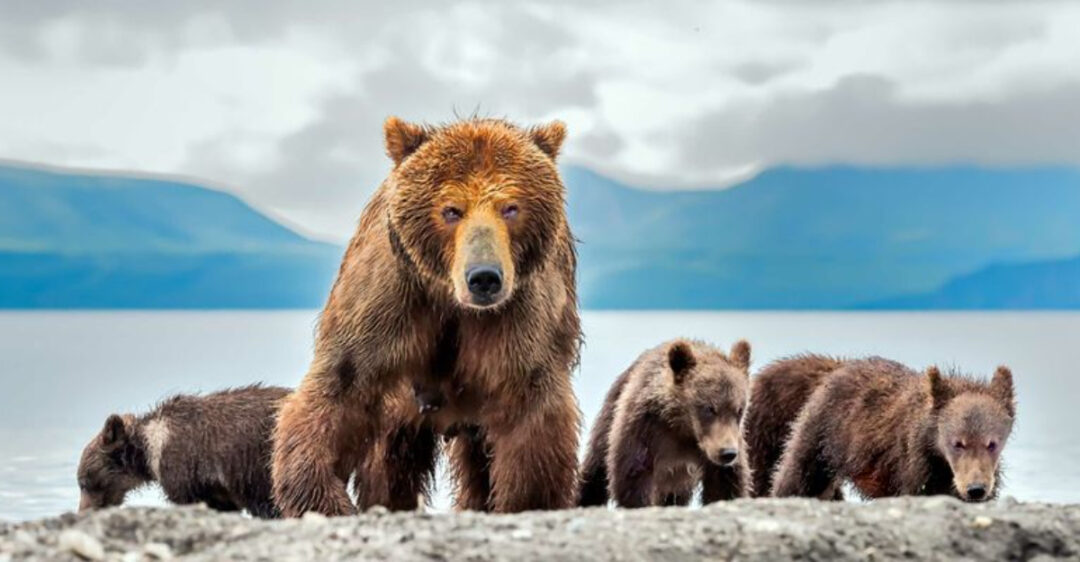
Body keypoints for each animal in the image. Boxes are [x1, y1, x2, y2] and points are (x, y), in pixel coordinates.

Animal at [271, 117, 582, 517]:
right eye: (451, 210)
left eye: (511, 207)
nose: (484, 277)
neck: (452, 300)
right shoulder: (387, 303)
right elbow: (340, 388)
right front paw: (324, 497)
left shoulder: (521, 318)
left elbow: (530, 414)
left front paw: (525, 500)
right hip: (400, 411)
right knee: (391, 466)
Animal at [579, 339, 752, 508]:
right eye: (709, 408)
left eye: (739, 410)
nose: (727, 453)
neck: (682, 427)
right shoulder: (644, 428)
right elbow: (634, 476)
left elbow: (725, 485)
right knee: (596, 469)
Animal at [768, 356, 1016, 502]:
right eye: (958, 443)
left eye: (991, 444)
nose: (976, 489)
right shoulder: (913, 463)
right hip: (824, 433)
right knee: (798, 474)